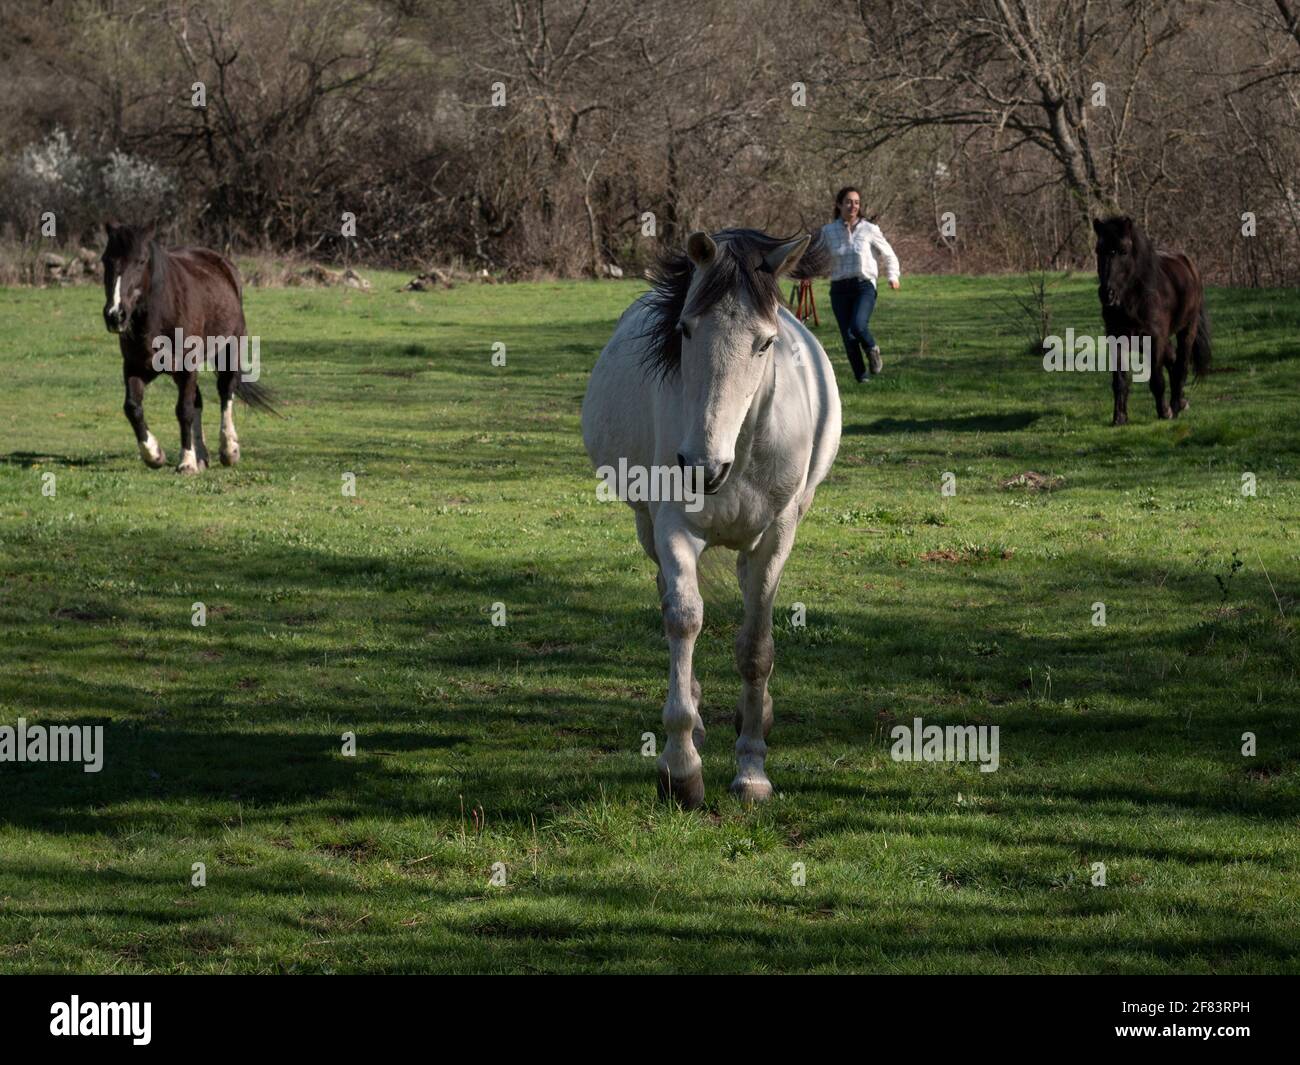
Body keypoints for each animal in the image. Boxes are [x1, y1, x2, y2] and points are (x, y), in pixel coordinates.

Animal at [101, 221, 275, 473]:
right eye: (106, 259)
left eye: (141, 261)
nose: (115, 315)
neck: (158, 315)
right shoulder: (135, 367)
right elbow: (132, 407)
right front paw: (154, 454)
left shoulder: (186, 367)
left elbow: (184, 410)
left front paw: (186, 462)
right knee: (198, 401)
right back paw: (201, 455)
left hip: (229, 349)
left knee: (225, 391)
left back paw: (228, 450)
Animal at [582, 228, 839, 808]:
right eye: (685, 329)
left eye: (764, 342)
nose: (703, 467)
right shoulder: (672, 528)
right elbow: (684, 618)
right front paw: (681, 768)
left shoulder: (778, 534)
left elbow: (756, 647)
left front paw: (751, 770)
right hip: (647, 525)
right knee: (671, 599)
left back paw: (756, 713)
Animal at [1092, 215, 1211, 425]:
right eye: (1099, 250)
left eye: (1123, 251)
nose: (1107, 294)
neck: (1136, 296)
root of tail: (1189, 265)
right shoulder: (1117, 338)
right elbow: (1120, 381)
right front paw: (1119, 418)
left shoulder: (1155, 338)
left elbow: (1157, 380)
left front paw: (1165, 412)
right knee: (1172, 359)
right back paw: (1181, 402)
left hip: (1187, 330)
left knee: (1181, 365)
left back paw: (1176, 405)